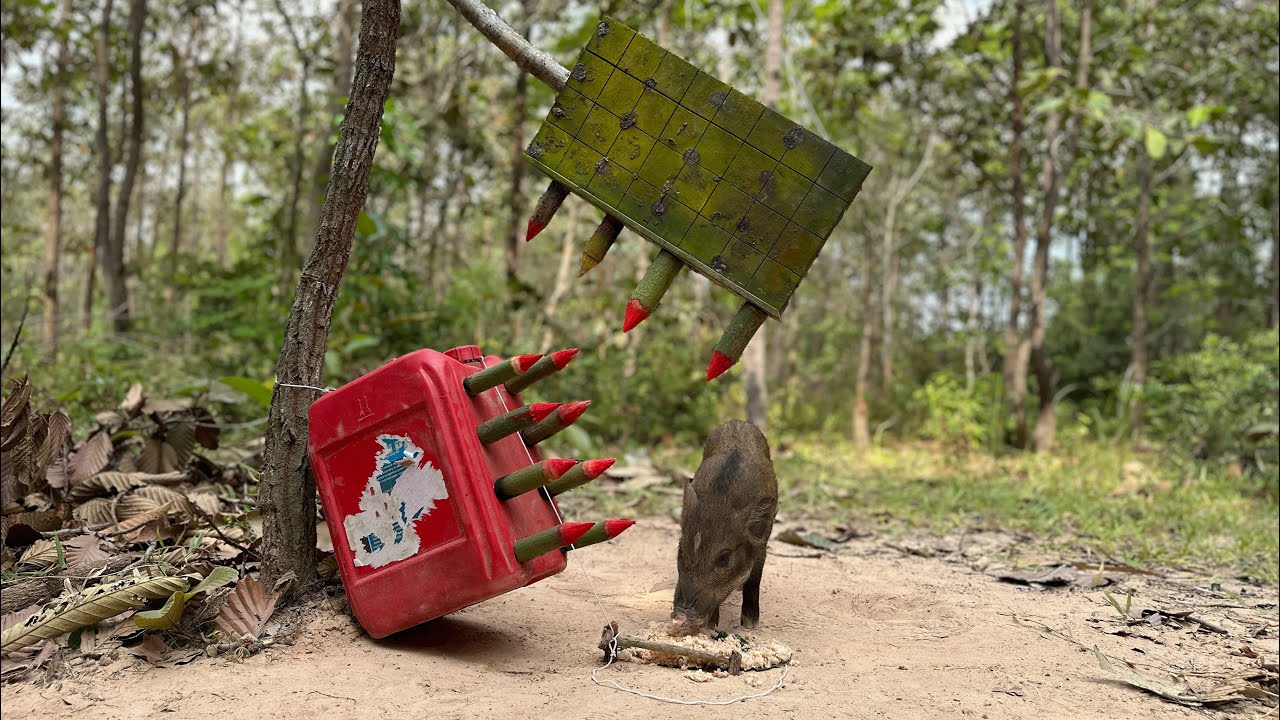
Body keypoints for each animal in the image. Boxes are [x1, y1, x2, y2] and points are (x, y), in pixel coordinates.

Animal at [672, 420, 778, 632]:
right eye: (680, 551)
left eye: (724, 558)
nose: (681, 614)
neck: (721, 500)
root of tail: (738, 421)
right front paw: (711, 626)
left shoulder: (762, 544)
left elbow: (754, 581)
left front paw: (750, 626)